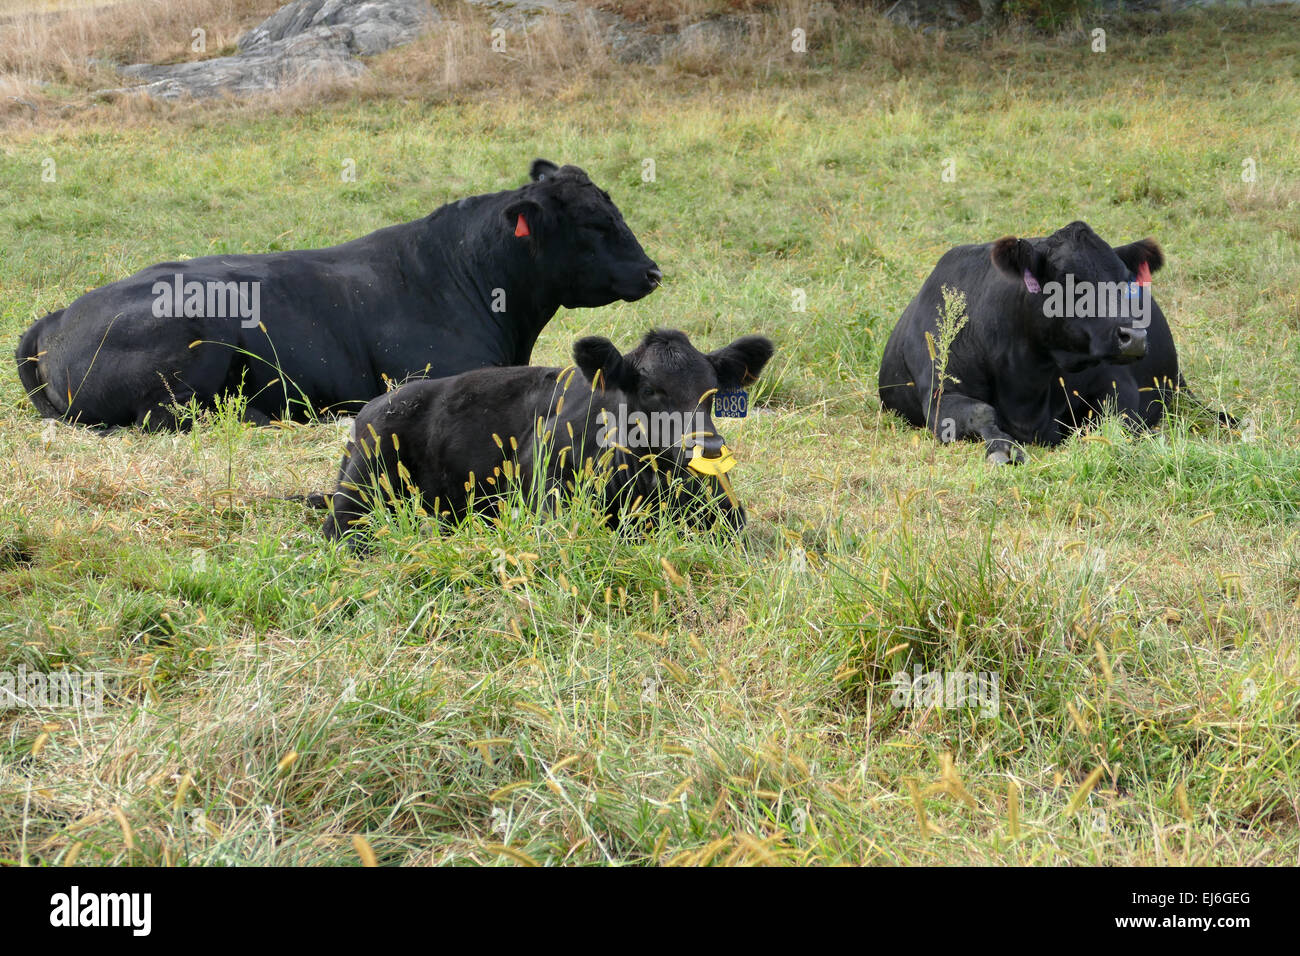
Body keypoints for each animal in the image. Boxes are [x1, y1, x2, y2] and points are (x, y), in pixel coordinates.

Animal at [878, 220, 1231, 464]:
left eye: (1125, 280)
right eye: (1067, 279)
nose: (1134, 338)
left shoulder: (1119, 385)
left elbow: (1113, 422)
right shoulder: (940, 394)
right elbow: (981, 412)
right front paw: (1003, 449)